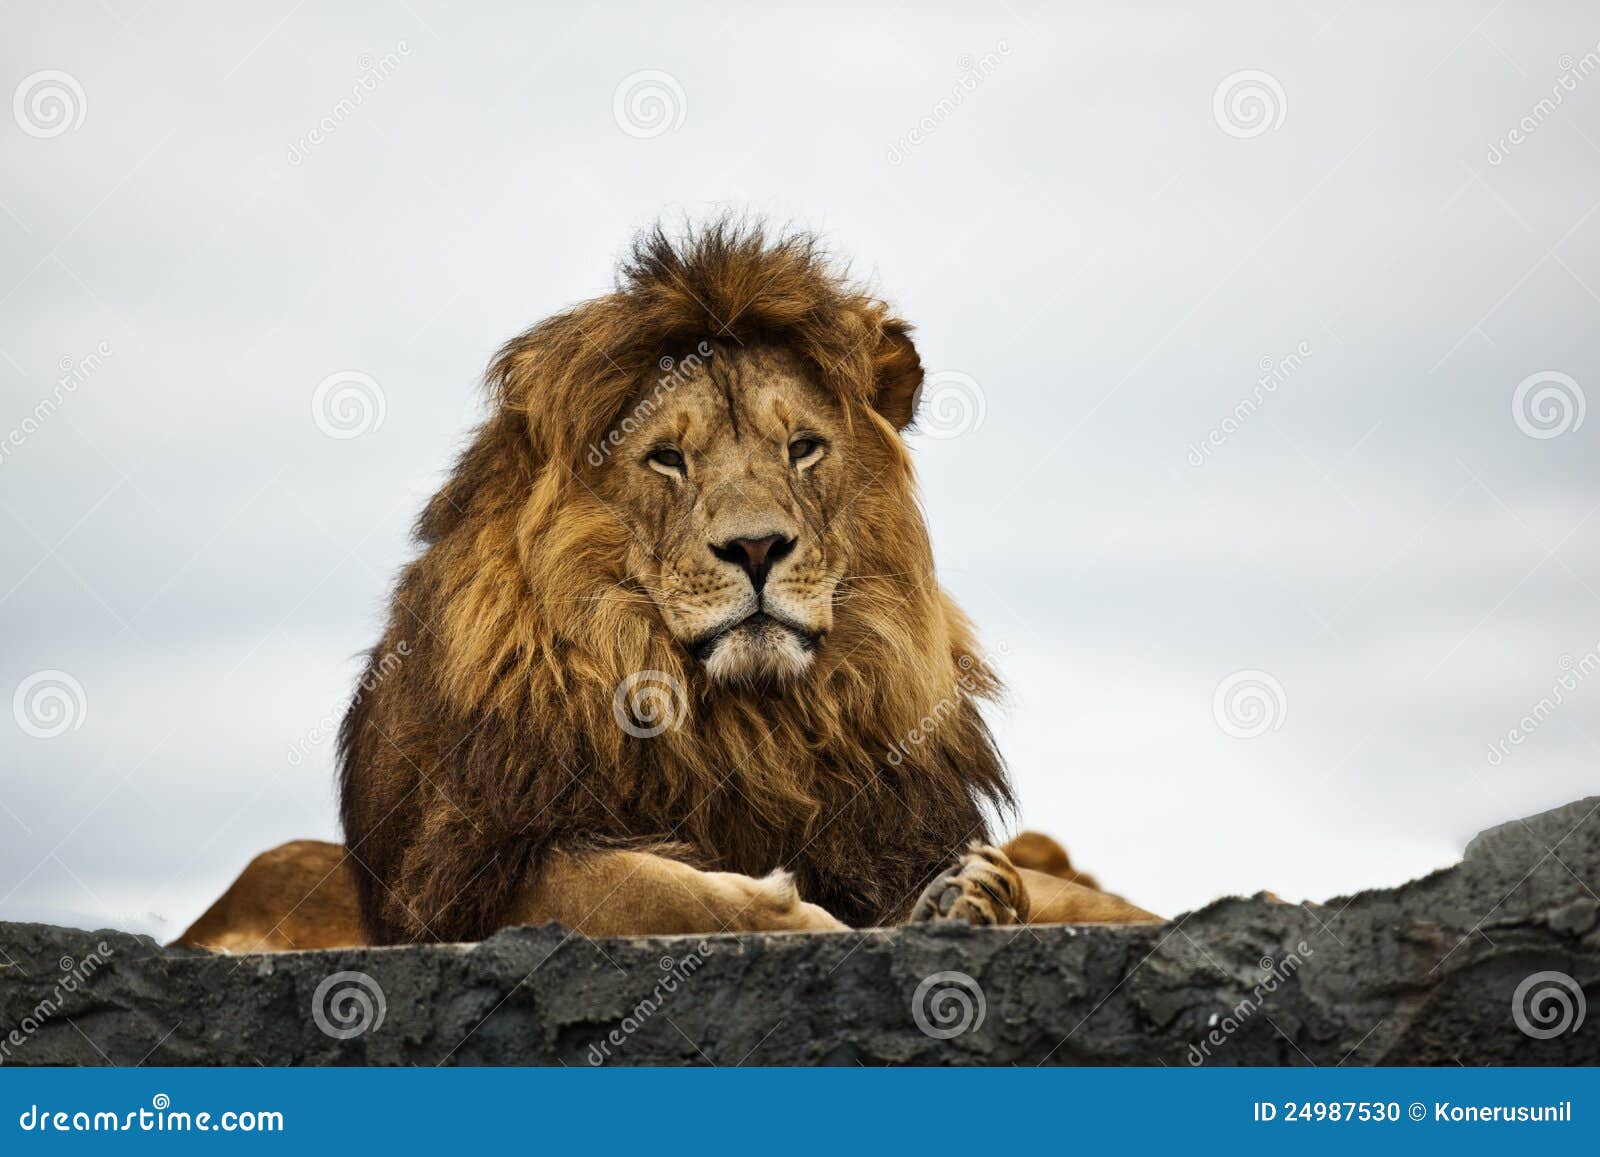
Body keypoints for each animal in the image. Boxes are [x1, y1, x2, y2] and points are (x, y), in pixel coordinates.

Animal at [178, 222, 1157, 953]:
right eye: (668, 459)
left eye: (803, 448)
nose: (757, 546)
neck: (746, 723)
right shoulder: (469, 881)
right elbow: (635, 890)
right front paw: (808, 914)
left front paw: (973, 890)